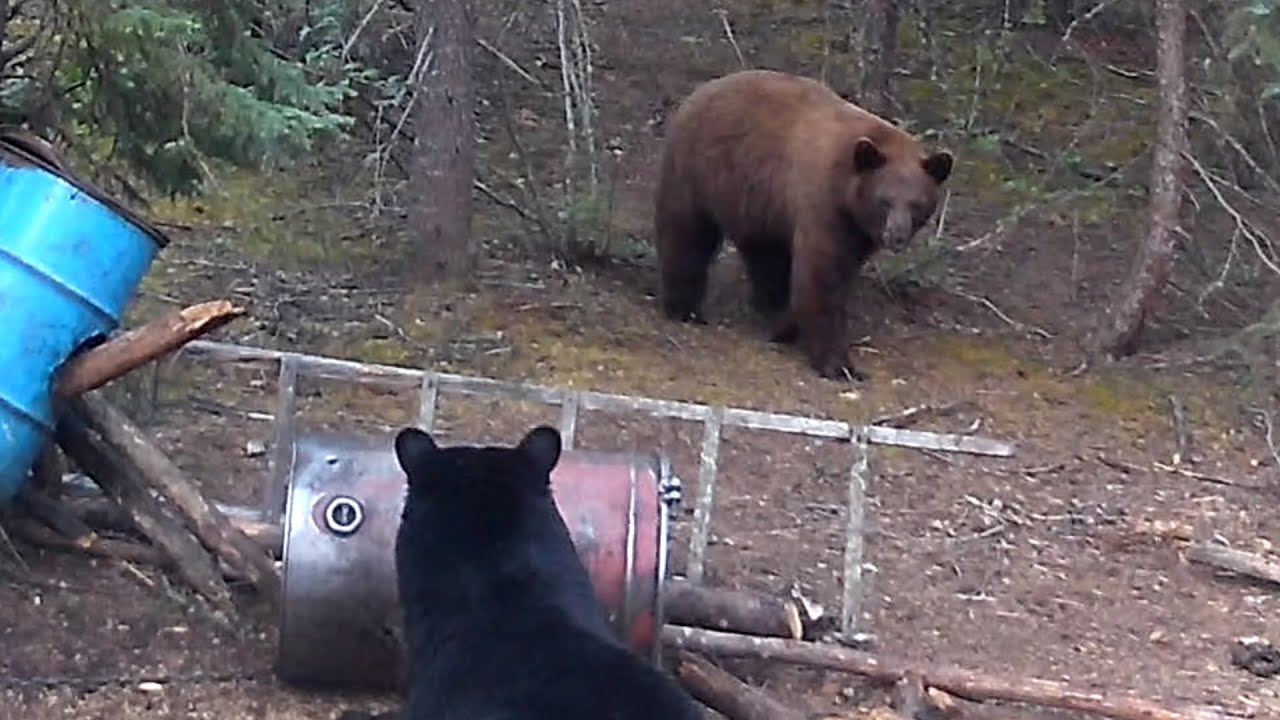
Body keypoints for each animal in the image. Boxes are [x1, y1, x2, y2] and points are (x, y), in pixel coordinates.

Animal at [652, 69, 954, 380]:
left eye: (916, 204)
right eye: (884, 201)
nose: (896, 235)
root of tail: (699, 92)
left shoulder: (855, 230)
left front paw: (788, 328)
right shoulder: (823, 206)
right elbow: (822, 277)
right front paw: (838, 363)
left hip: (756, 202)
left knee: (765, 256)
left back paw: (769, 308)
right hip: (697, 170)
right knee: (687, 234)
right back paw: (685, 308)